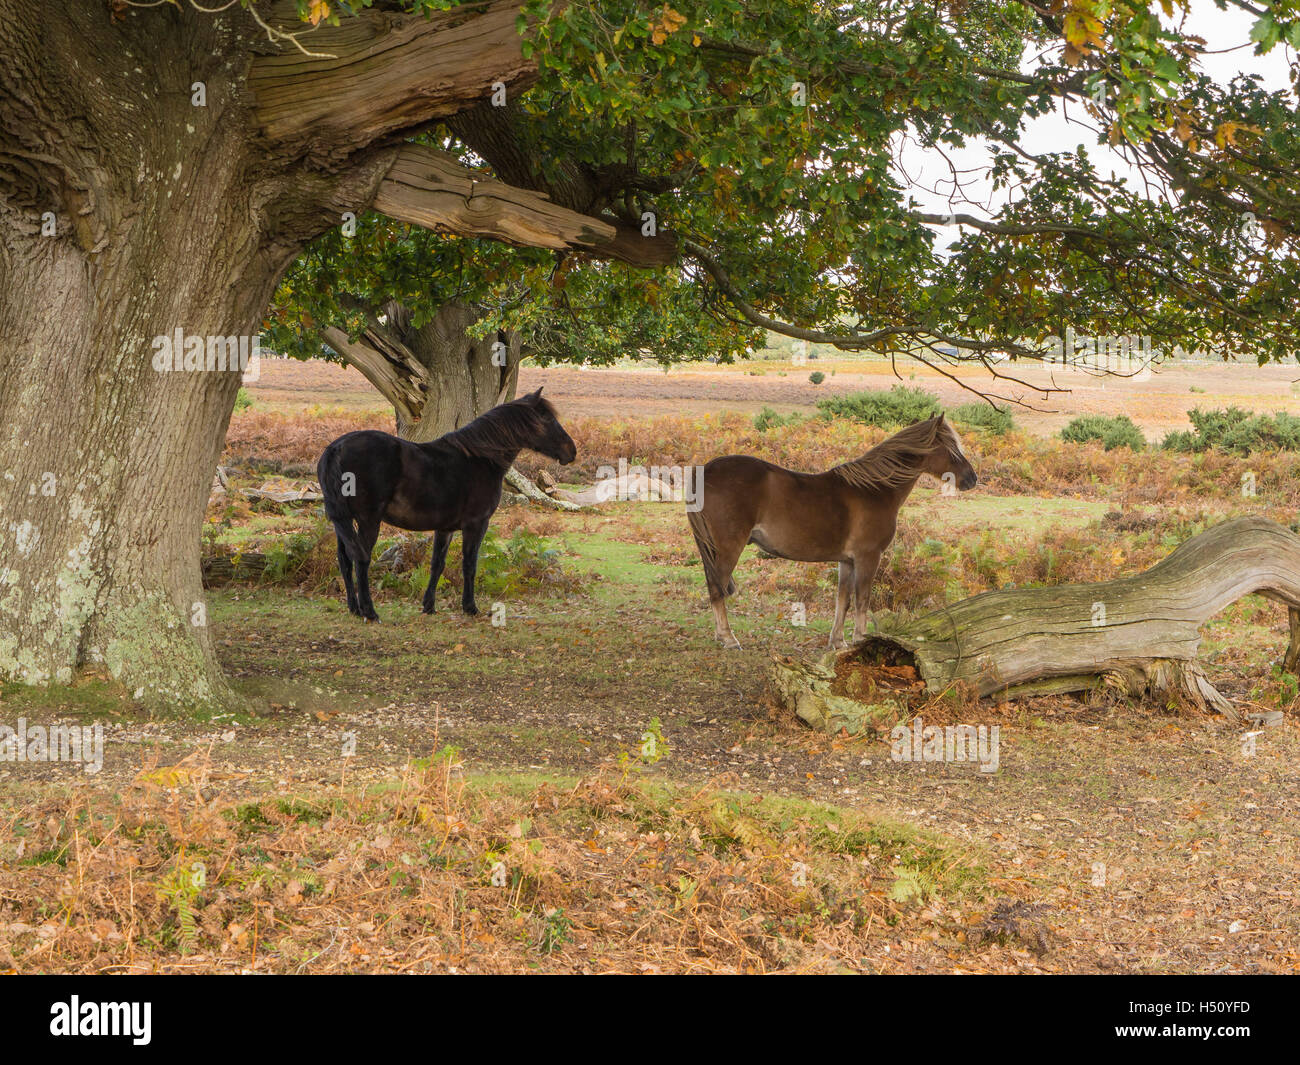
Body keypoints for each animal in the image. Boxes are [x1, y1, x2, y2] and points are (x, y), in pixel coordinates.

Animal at [317, 388, 576, 622]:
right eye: (548, 419)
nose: (571, 451)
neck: (480, 458)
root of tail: (336, 448)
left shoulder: (445, 528)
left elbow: (437, 565)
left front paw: (429, 606)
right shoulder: (476, 524)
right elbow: (469, 564)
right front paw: (470, 607)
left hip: (344, 520)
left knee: (345, 559)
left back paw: (354, 608)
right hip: (368, 520)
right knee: (361, 558)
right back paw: (369, 612)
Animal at [686, 413, 977, 649]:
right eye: (951, 448)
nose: (971, 479)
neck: (875, 489)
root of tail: (706, 471)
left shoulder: (847, 561)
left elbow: (843, 601)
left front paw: (837, 641)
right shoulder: (868, 557)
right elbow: (862, 599)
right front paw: (860, 639)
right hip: (729, 548)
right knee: (716, 589)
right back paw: (728, 638)